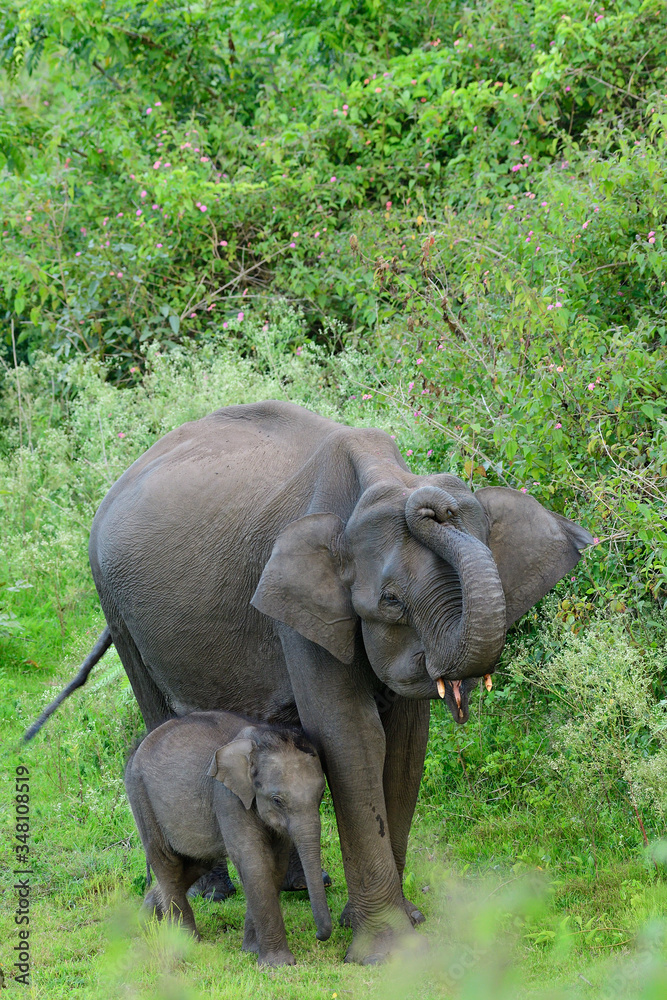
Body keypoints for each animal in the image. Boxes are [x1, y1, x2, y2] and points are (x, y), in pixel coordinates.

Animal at [125, 710, 332, 965]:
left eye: (321, 794)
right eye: (277, 800)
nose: (319, 936)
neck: (262, 738)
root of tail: (136, 748)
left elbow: (275, 864)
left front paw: (251, 951)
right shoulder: (227, 797)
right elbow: (254, 860)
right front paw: (278, 964)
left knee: (198, 863)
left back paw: (145, 920)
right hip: (141, 797)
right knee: (167, 863)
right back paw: (186, 942)